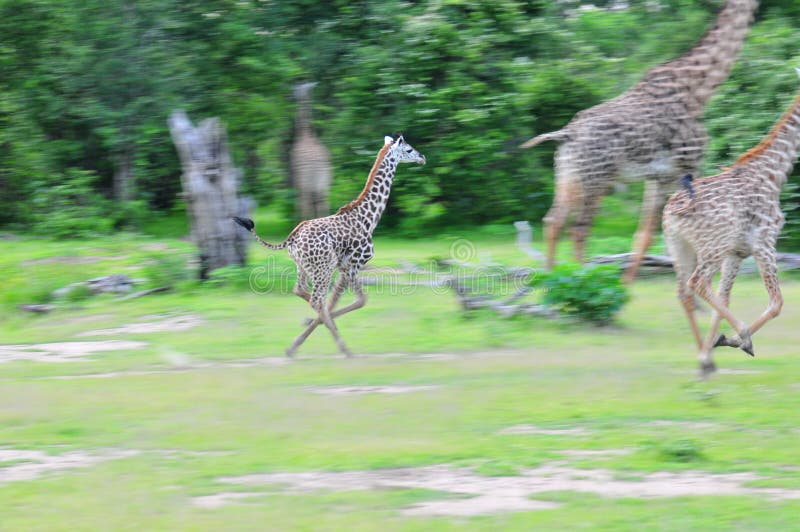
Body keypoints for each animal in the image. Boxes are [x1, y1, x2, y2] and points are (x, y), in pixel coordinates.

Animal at [234, 135, 426, 357]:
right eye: (409, 149)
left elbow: (341, 300)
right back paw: (342, 347)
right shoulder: (354, 264)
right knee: (317, 299)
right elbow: (359, 300)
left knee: (302, 292)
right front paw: (322, 333)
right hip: (323, 267)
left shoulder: (343, 266)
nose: (422, 158)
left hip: (305, 267)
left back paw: (302, 340)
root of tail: (291, 239)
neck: (369, 217)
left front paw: (307, 330)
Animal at [291, 81, 333, 220]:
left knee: (305, 203)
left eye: (297, 89)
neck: (305, 133)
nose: (291, 95)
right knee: (323, 202)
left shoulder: (297, 179)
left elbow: (299, 203)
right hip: (324, 181)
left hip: (307, 182)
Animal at [520, 0, 758, 283]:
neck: (699, 89)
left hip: (568, 174)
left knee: (553, 220)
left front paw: (627, 282)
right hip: (597, 178)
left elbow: (644, 234)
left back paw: (550, 279)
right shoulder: (689, 166)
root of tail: (567, 134)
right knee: (579, 228)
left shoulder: (659, 176)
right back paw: (581, 278)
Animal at [662, 71, 800, 376]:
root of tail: (671, 212)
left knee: (684, 291)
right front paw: (738, 338)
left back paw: (705, 361)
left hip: (680, 248)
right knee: (697, 282)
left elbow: (723, 299)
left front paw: (717, 343)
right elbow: (777, 302)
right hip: (710, 248)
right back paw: (723, 347)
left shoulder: (737, 253)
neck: (774, 173)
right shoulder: (764, 242)